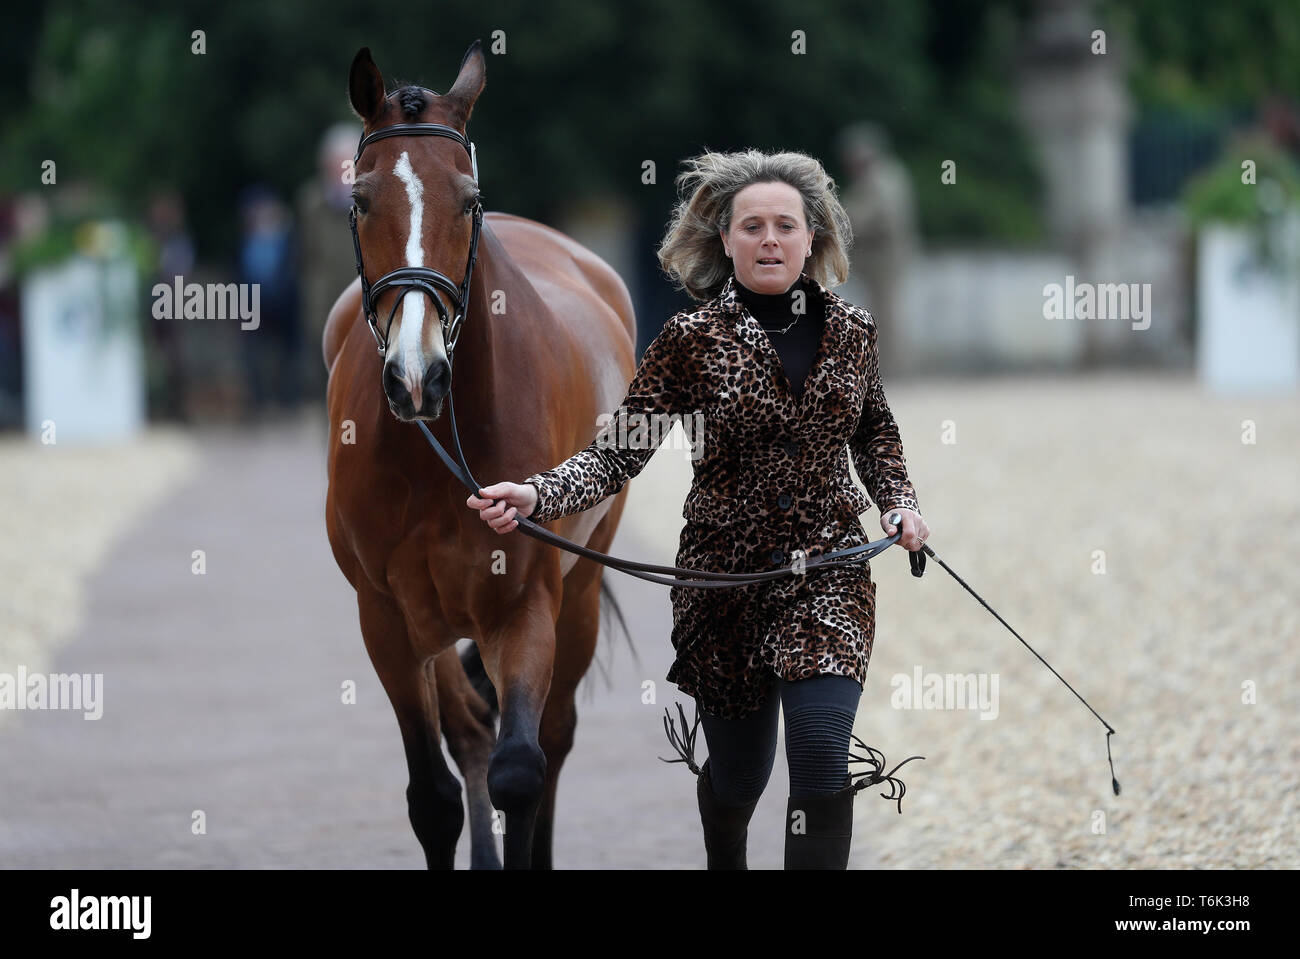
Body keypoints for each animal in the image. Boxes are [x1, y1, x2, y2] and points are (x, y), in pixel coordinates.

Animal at [323, 41, 636, 869]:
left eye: (467, 201)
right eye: (360, 200)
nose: (416, 374)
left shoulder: (524, 604)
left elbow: (521, 769)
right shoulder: (385, 616)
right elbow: (433, 794)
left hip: (579, 592)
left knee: (551, 739)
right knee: (466, 728)